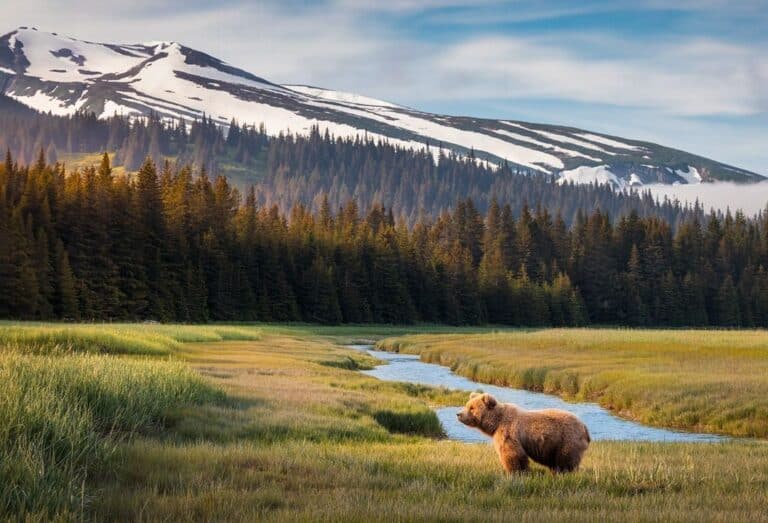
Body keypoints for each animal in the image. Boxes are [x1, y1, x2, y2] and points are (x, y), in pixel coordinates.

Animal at [457, 392, 590, 473]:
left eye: (472, 408)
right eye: (467, 405)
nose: (458, 414)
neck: (496, 422)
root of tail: (584, 426)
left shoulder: (508, 433)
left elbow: (512, 454)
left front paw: (514, 472)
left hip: (566, 438)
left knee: (566, 459)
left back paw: (564, 472)